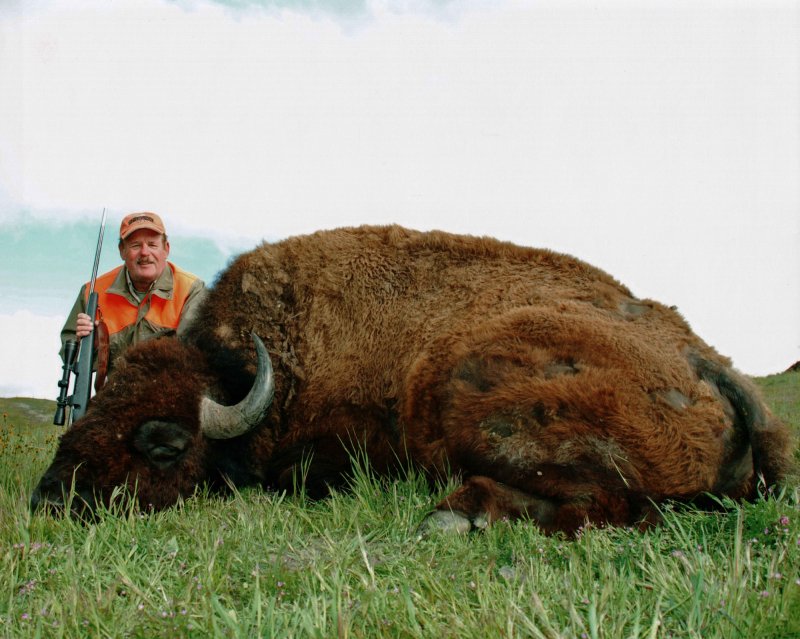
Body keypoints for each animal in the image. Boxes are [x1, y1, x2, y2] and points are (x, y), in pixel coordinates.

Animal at [32, 225, 792, 535]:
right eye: (96, 408)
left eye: (162, 442)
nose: (47, 501)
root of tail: (716, 367)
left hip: (469, 390)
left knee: (619, 505)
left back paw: (454, 516)